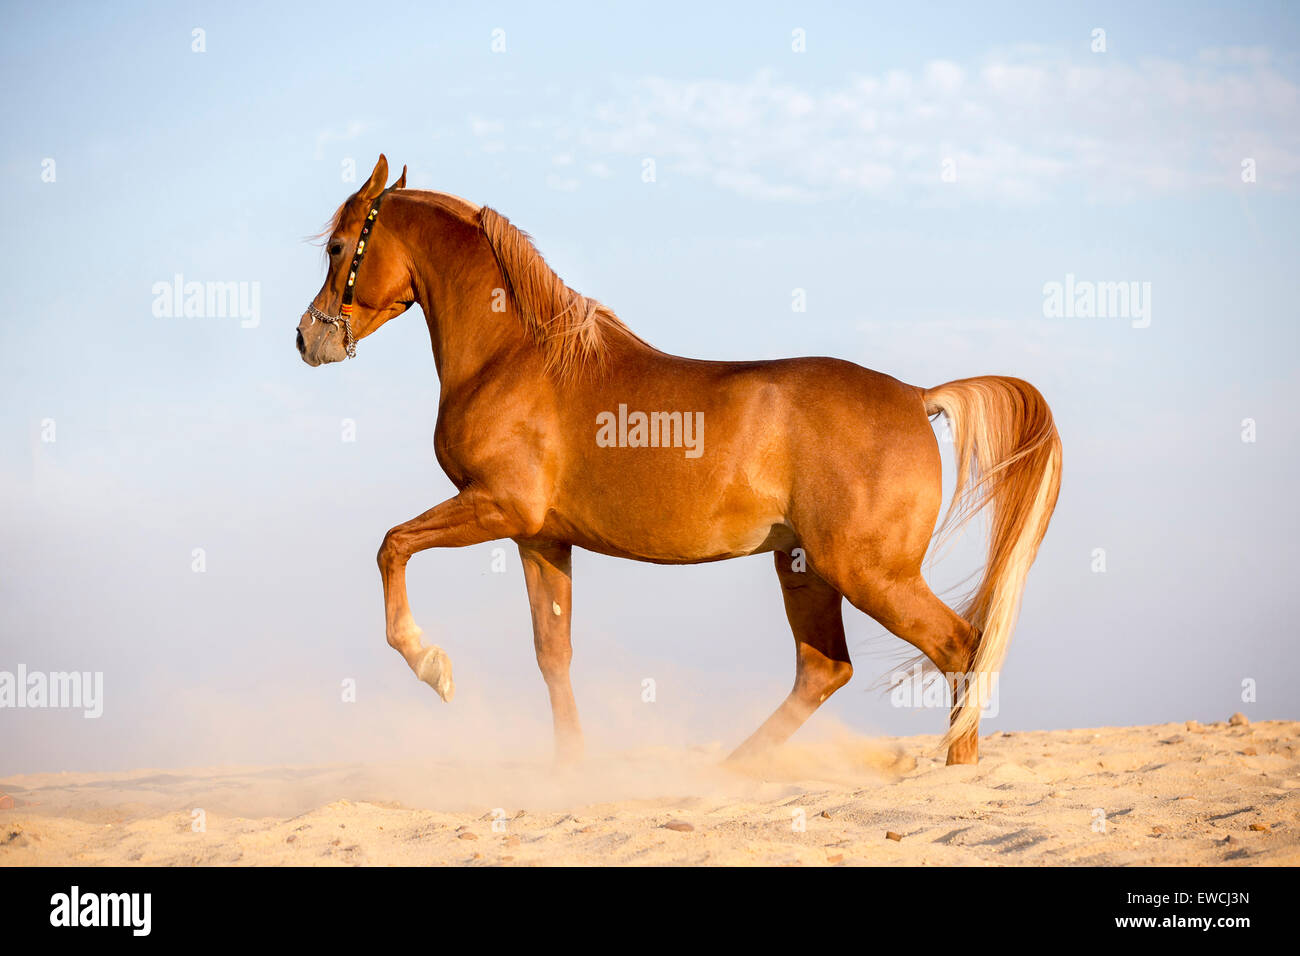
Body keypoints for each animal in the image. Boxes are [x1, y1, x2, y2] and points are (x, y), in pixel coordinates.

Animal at [296, 155, 1062, 767]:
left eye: (337, 246)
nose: (308, 337)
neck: (515, 358)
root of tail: (915, 396)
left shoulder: (496, 507)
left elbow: (392, 546)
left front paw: (432, 666)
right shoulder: (540, 538)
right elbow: (553, 656)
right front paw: (570, 770)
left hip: (869, 572)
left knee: (959, 648)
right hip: (804, 566)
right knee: (825, 670)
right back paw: (729, 771)